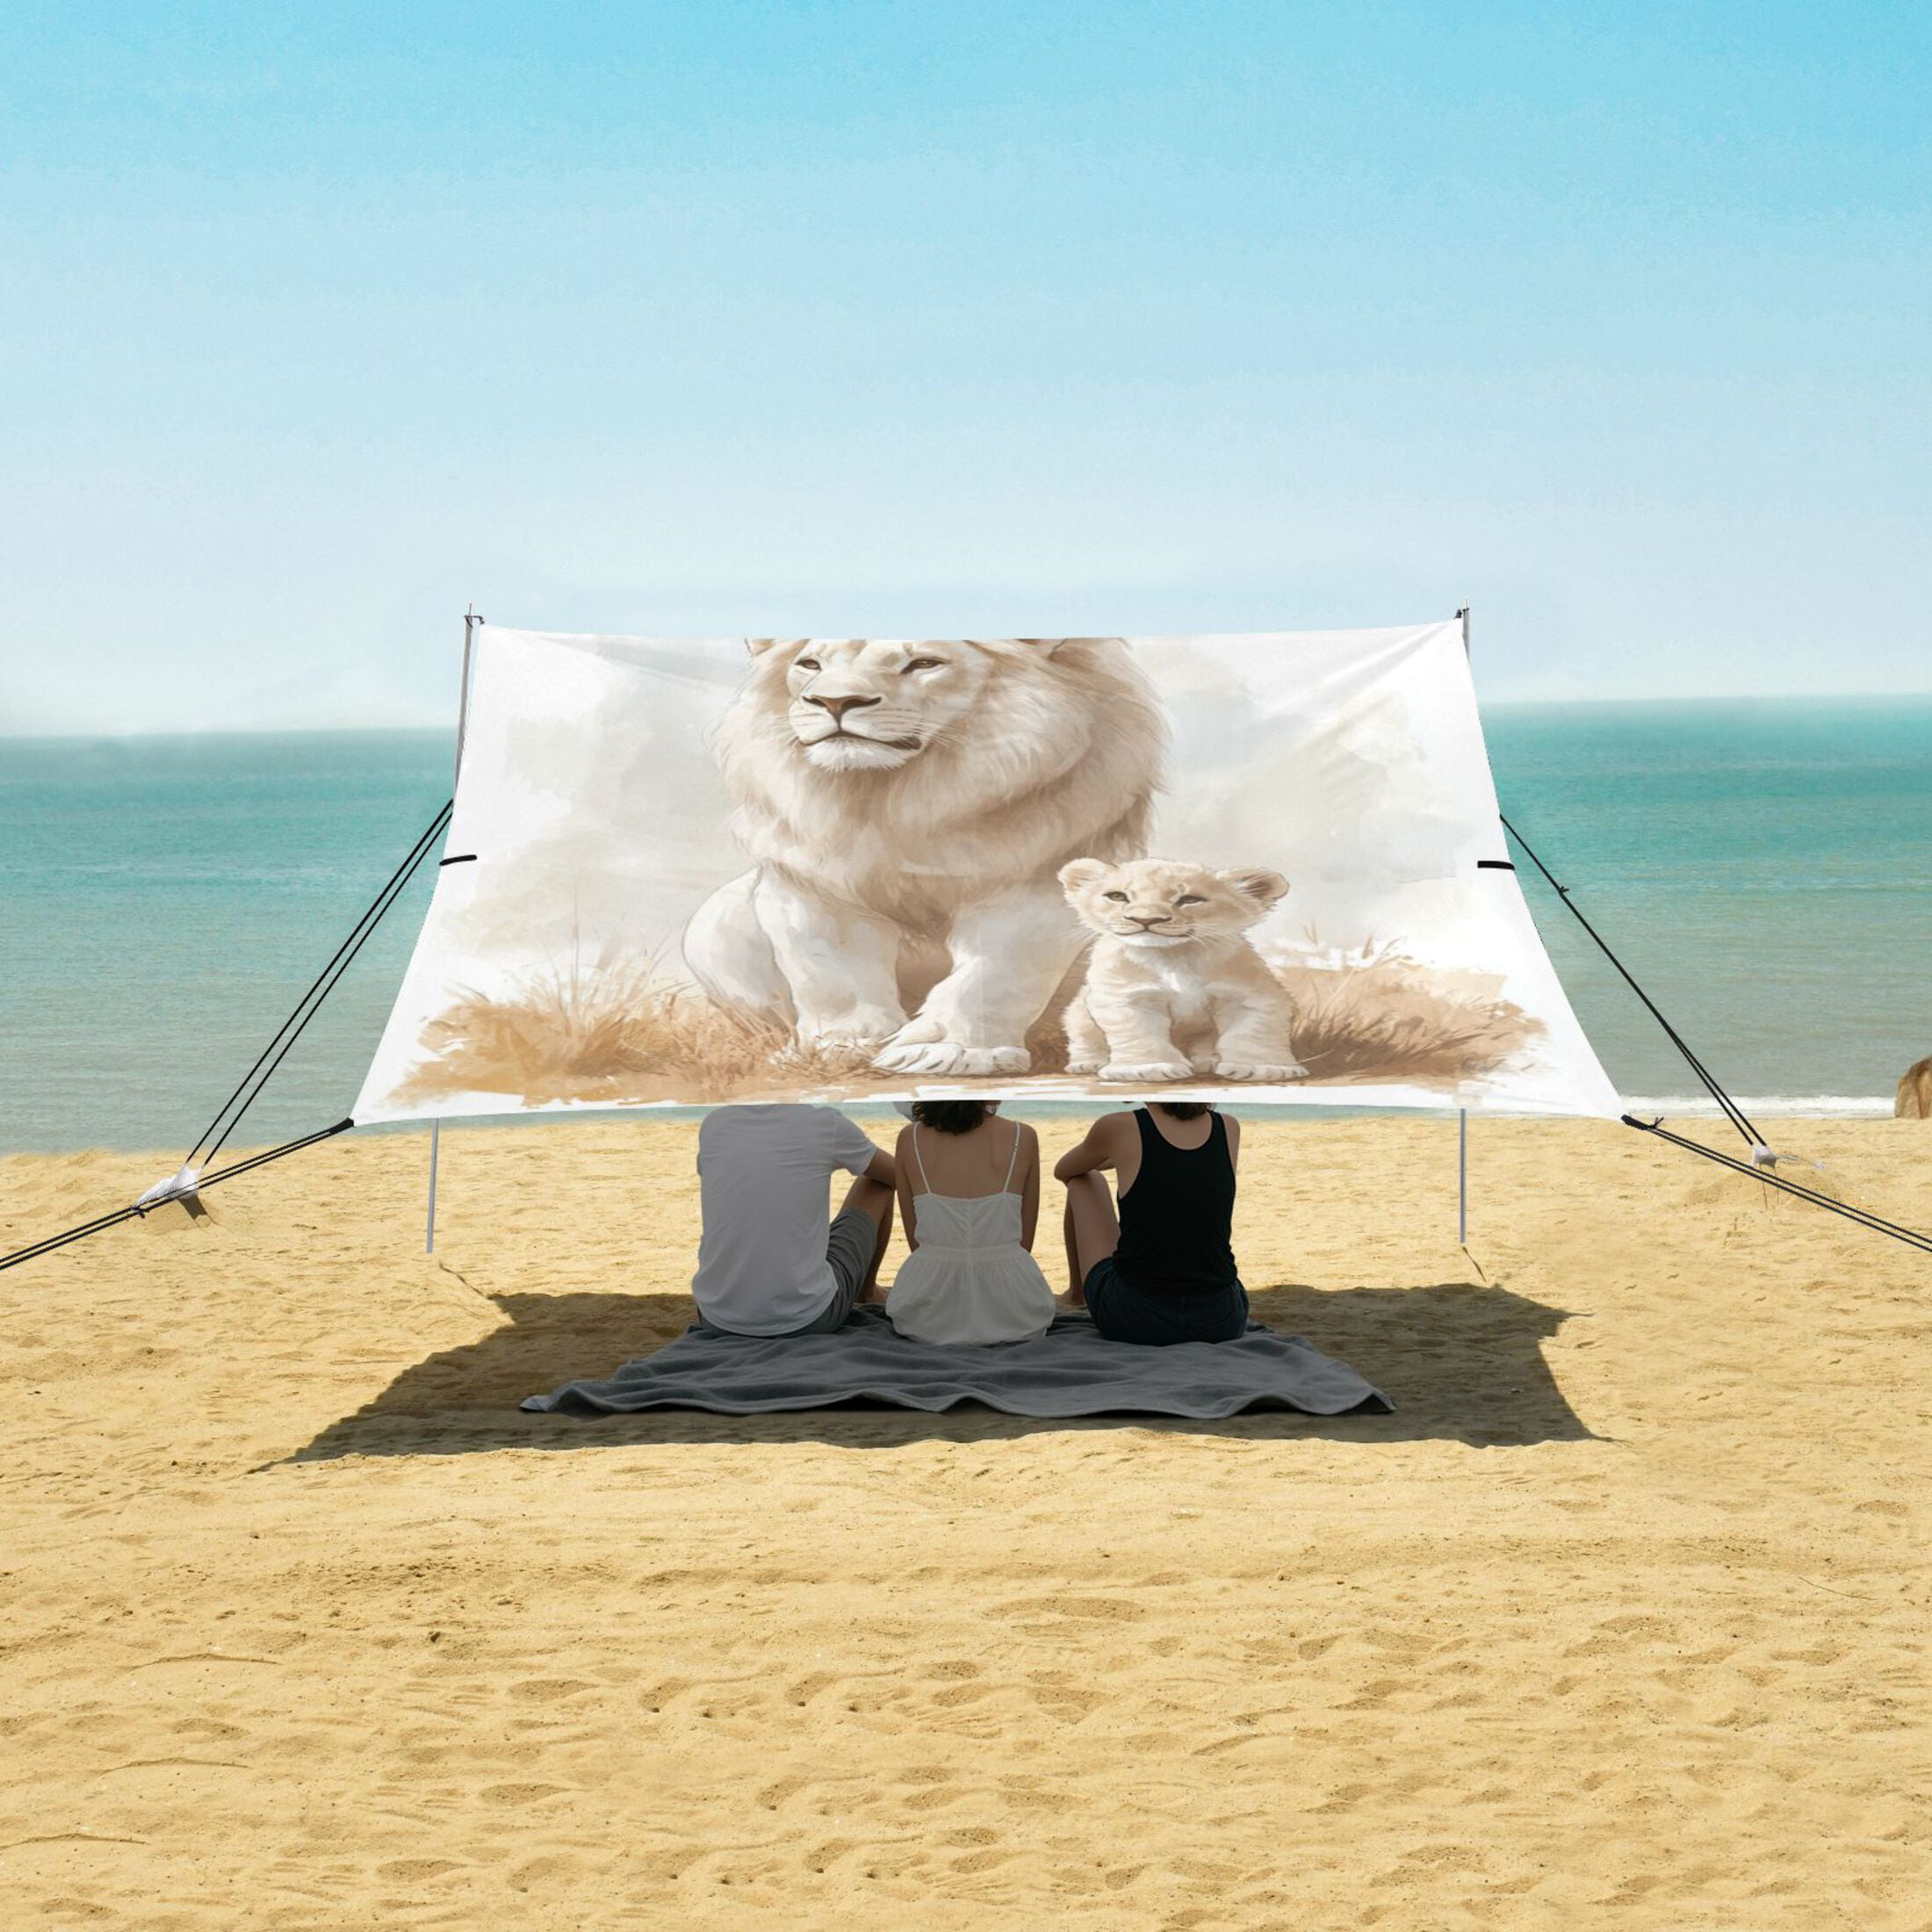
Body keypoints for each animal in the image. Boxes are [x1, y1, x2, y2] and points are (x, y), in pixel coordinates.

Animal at [681, 637, 1166, 1076]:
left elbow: (995, 972)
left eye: (925, 663)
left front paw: (947, 1051)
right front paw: (843, 1047)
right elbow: (832, 974)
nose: (834, 702)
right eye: (810, 664)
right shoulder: (817, 883)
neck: (895, 797)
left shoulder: (1040, 874)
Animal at [1057, 856, 1308, 1083]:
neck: (1174, 956)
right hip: (1077, 1012)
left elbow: (1253, 1030)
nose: (1145, 919)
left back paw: (1207, 1061)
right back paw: (1087, 1063)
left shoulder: (1250, 993)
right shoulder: (1128, 996)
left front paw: (1262, 1068)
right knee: (1083, 1036)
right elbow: (1140, 1032)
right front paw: (1148, 1068)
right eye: (1117, 896)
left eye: (1190, 899)